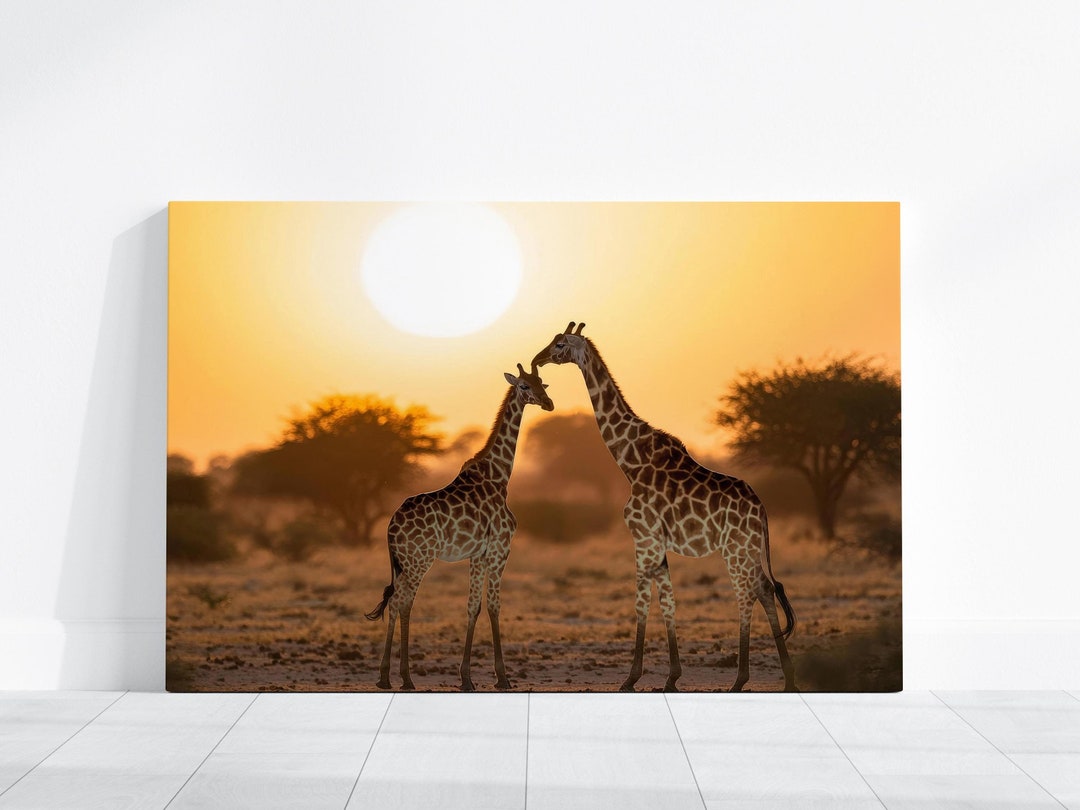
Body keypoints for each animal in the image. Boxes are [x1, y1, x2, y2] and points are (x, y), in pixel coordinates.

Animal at [365, 363, 554, 691]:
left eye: (541, 382)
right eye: (524, 386)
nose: (548, 403)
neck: (500, 475)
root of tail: (390, 527)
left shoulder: (478, 554)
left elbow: (473, 606)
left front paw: (466, 678)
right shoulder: (500, 549)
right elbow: (493, 606)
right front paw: (502, 677)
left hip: (402, 562)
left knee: (394, 601)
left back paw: (385, 677)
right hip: (419, 560)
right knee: (403, 602)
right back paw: (406, 678)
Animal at [532, 322, 796, 692]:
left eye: (559, 344)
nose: (537, 359)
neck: (629, 461)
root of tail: (761, 510)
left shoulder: (642, 536)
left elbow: (642, 601)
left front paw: (630, 678)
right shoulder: (656, 541)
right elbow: (667, 600)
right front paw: (671, 677)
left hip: (735, 548)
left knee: (748, 593)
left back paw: (741, 680)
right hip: (746, 547)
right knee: (766, 588)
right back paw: (786, 680)